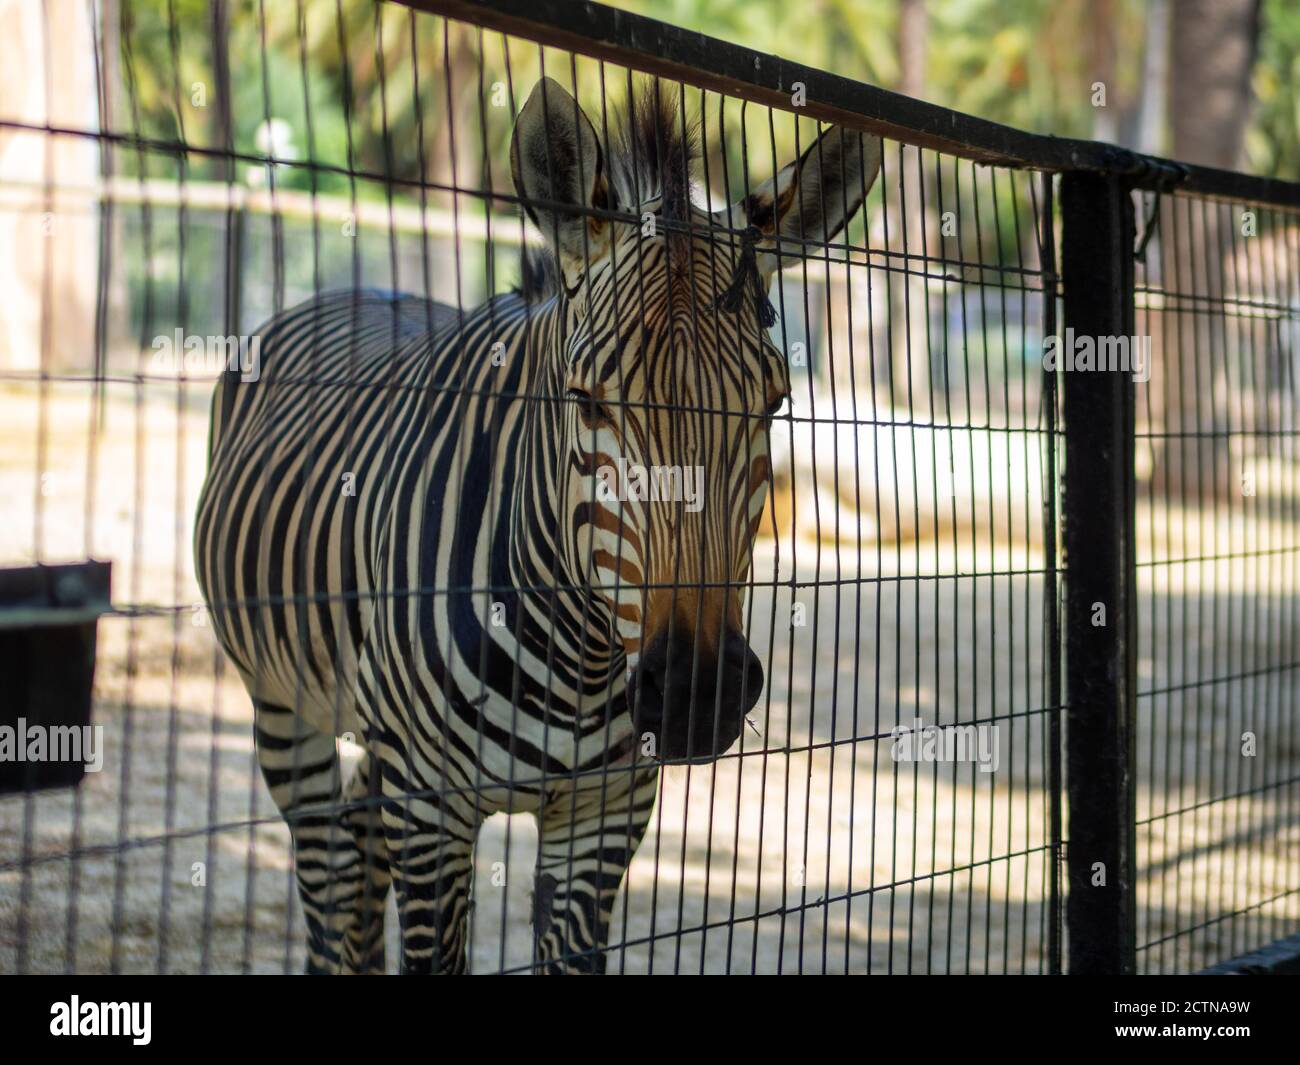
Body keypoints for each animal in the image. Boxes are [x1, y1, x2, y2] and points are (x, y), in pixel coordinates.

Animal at [194, 77, 881, 974]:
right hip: (284, 706)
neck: (579, 659)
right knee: (327, 875)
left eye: (774, 405)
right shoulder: (430, 808)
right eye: (587, 401)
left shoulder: (607, 809)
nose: (699, 693)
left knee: (354, 841)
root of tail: (352, 289)